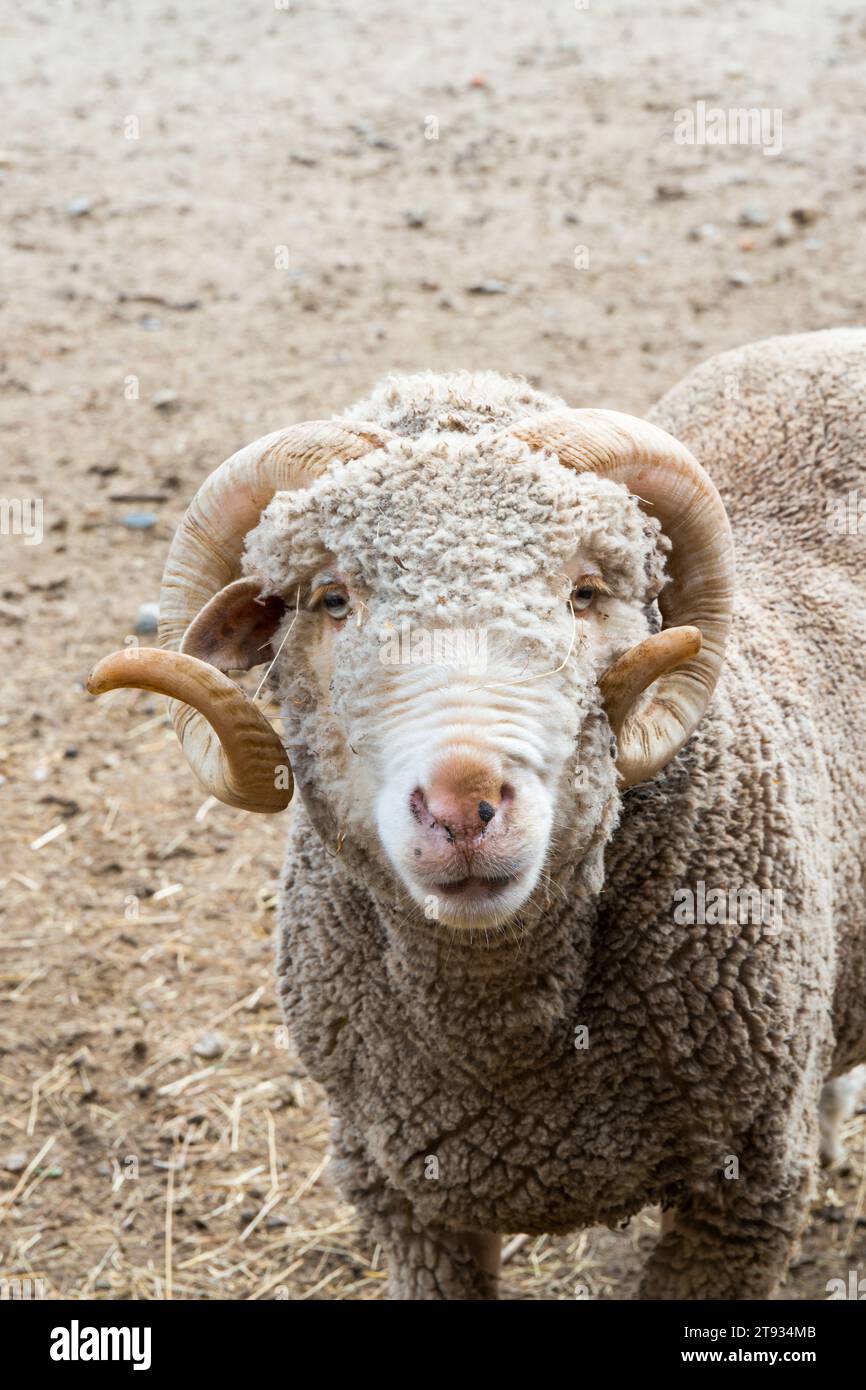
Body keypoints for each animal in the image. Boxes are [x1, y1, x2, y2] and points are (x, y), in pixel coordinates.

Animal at [87, 327, 866, 1301]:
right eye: (331, 599)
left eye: (585, 592)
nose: (465, 807)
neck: (501, 1027)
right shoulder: (403, 1195)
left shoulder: (743, 1194)